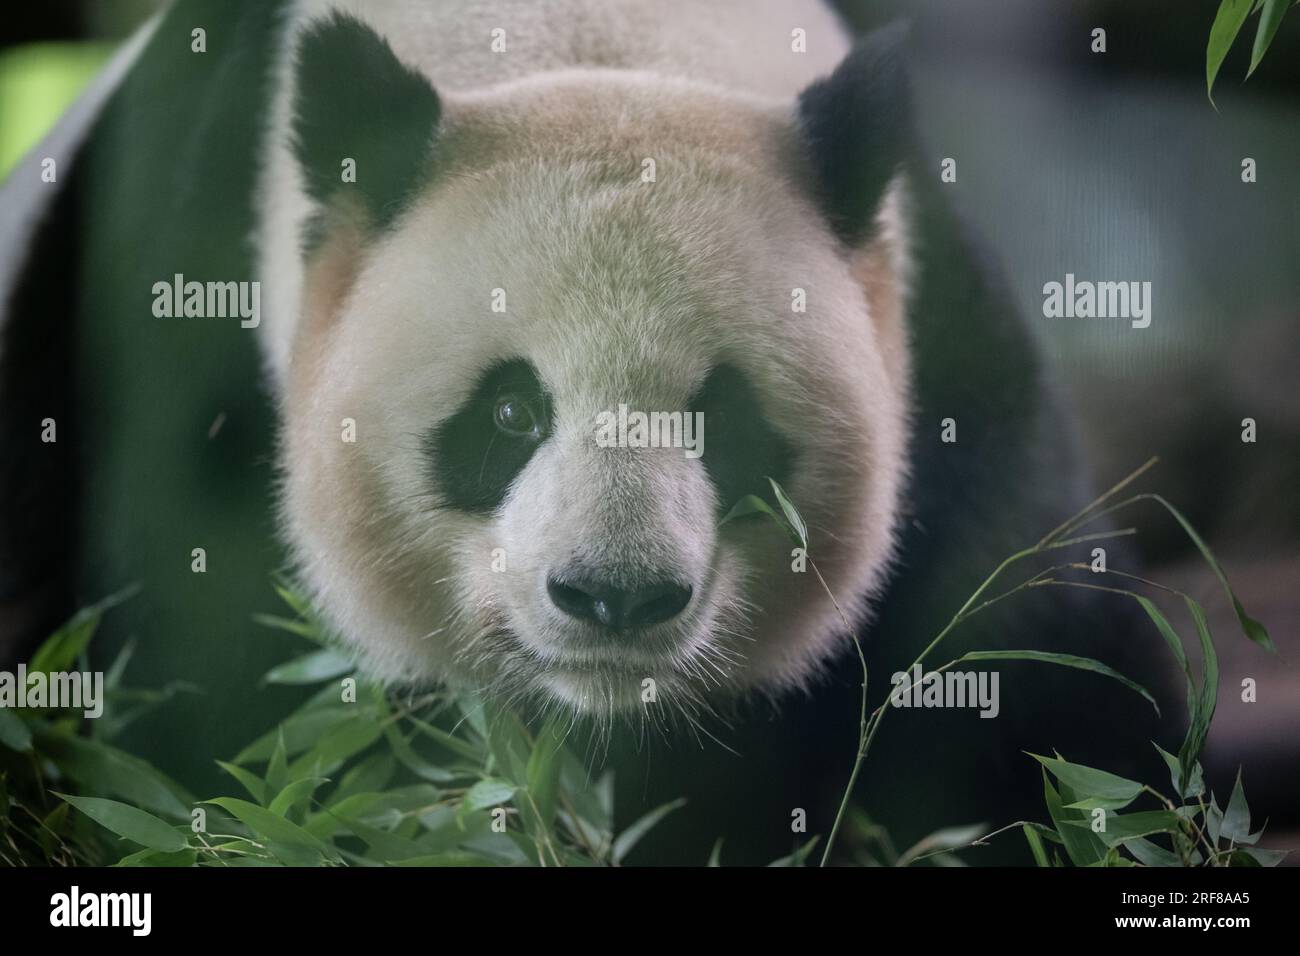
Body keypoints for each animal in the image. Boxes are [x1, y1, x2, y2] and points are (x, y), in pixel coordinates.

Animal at [0, 0, 1174, 864]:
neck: (587, 39)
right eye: (511, 411)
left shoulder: (945, 349)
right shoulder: (175, 323)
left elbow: (1037, 679)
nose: (616, 595)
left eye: (721, 419)